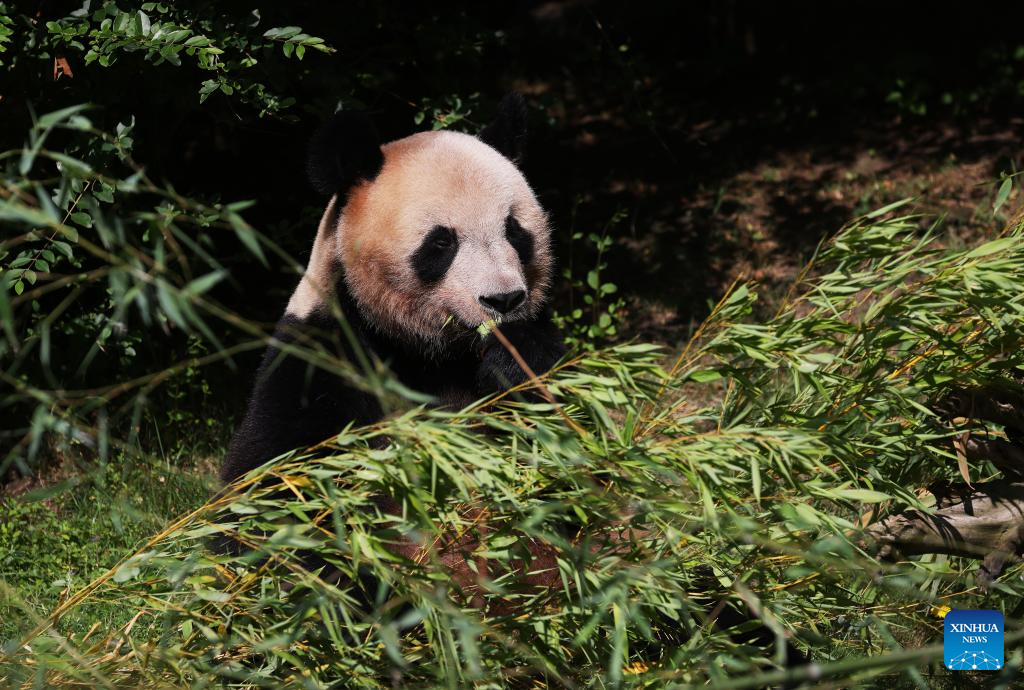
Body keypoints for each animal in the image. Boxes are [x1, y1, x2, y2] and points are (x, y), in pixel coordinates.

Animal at [220, 93, 567, 484]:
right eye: (442, 242)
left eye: (514, 231)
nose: (503, 300)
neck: (432, 353)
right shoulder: (321, 352)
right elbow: (270, 467)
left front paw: (514, 362)